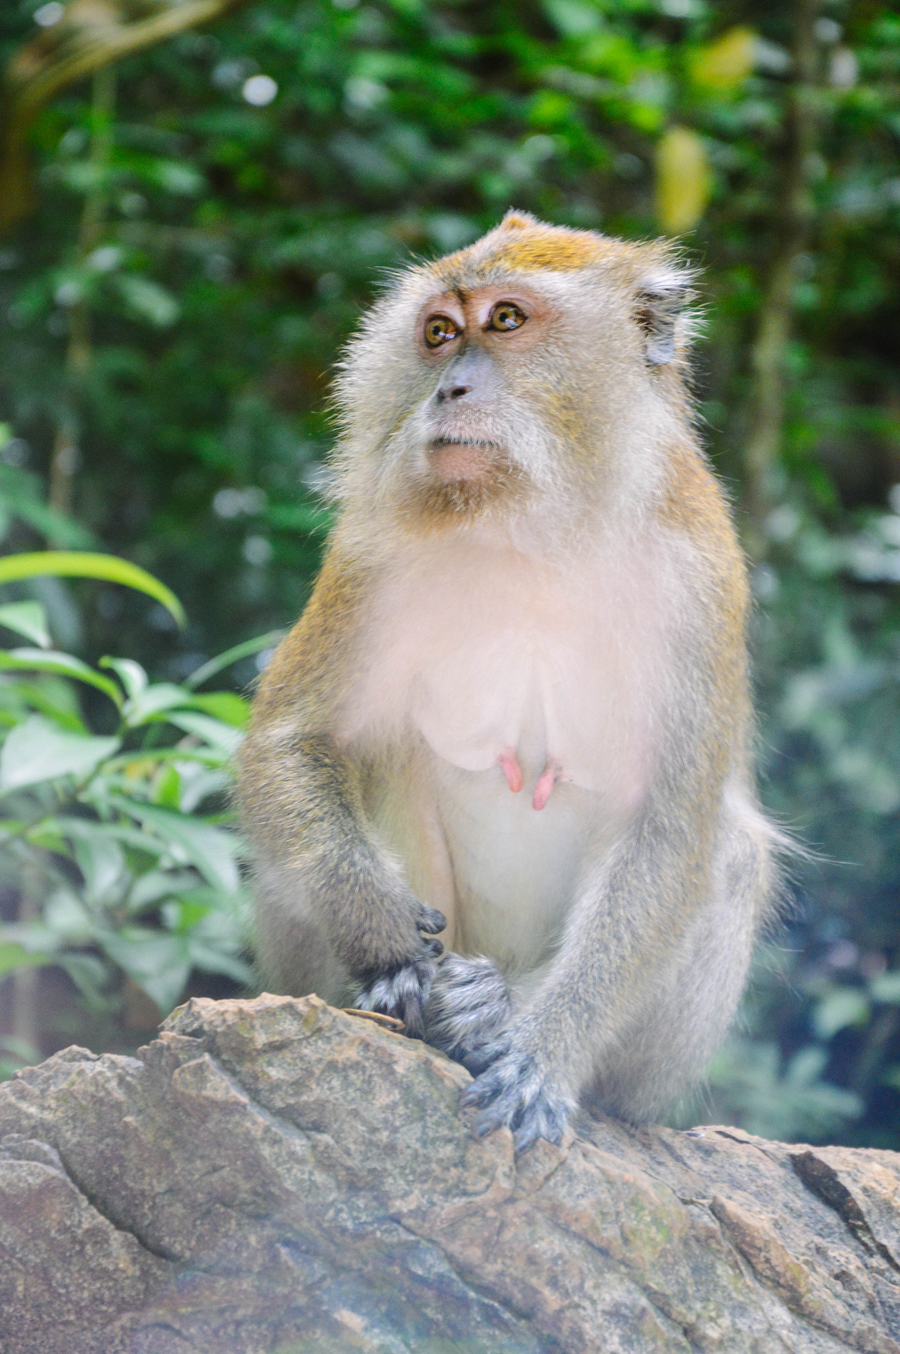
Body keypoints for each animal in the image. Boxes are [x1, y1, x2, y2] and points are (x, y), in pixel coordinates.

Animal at [238, 210, 780, 1151]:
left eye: (506, 321)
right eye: (438, 333)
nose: (448, 389)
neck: (534, 529)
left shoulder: (699, 577)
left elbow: (668, 827)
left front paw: (539, 1051)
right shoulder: (371, 549)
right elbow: (293, 742)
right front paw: (388, 942)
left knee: (735, 853)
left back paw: (492, 1007)